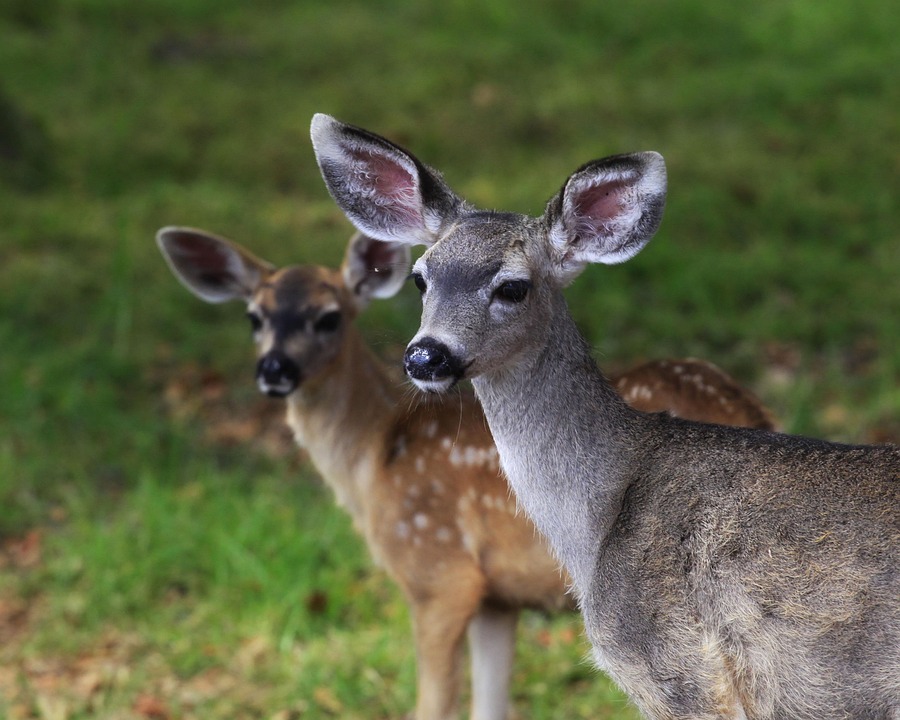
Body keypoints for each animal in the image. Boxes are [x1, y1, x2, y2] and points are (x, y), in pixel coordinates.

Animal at [157, 226, 778, 720]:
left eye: (328, 317)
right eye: (254, 317)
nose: (275, 369)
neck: (375, 455)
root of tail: (751, 409)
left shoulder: (440, 572)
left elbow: (433, 706)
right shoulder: (497, 598)